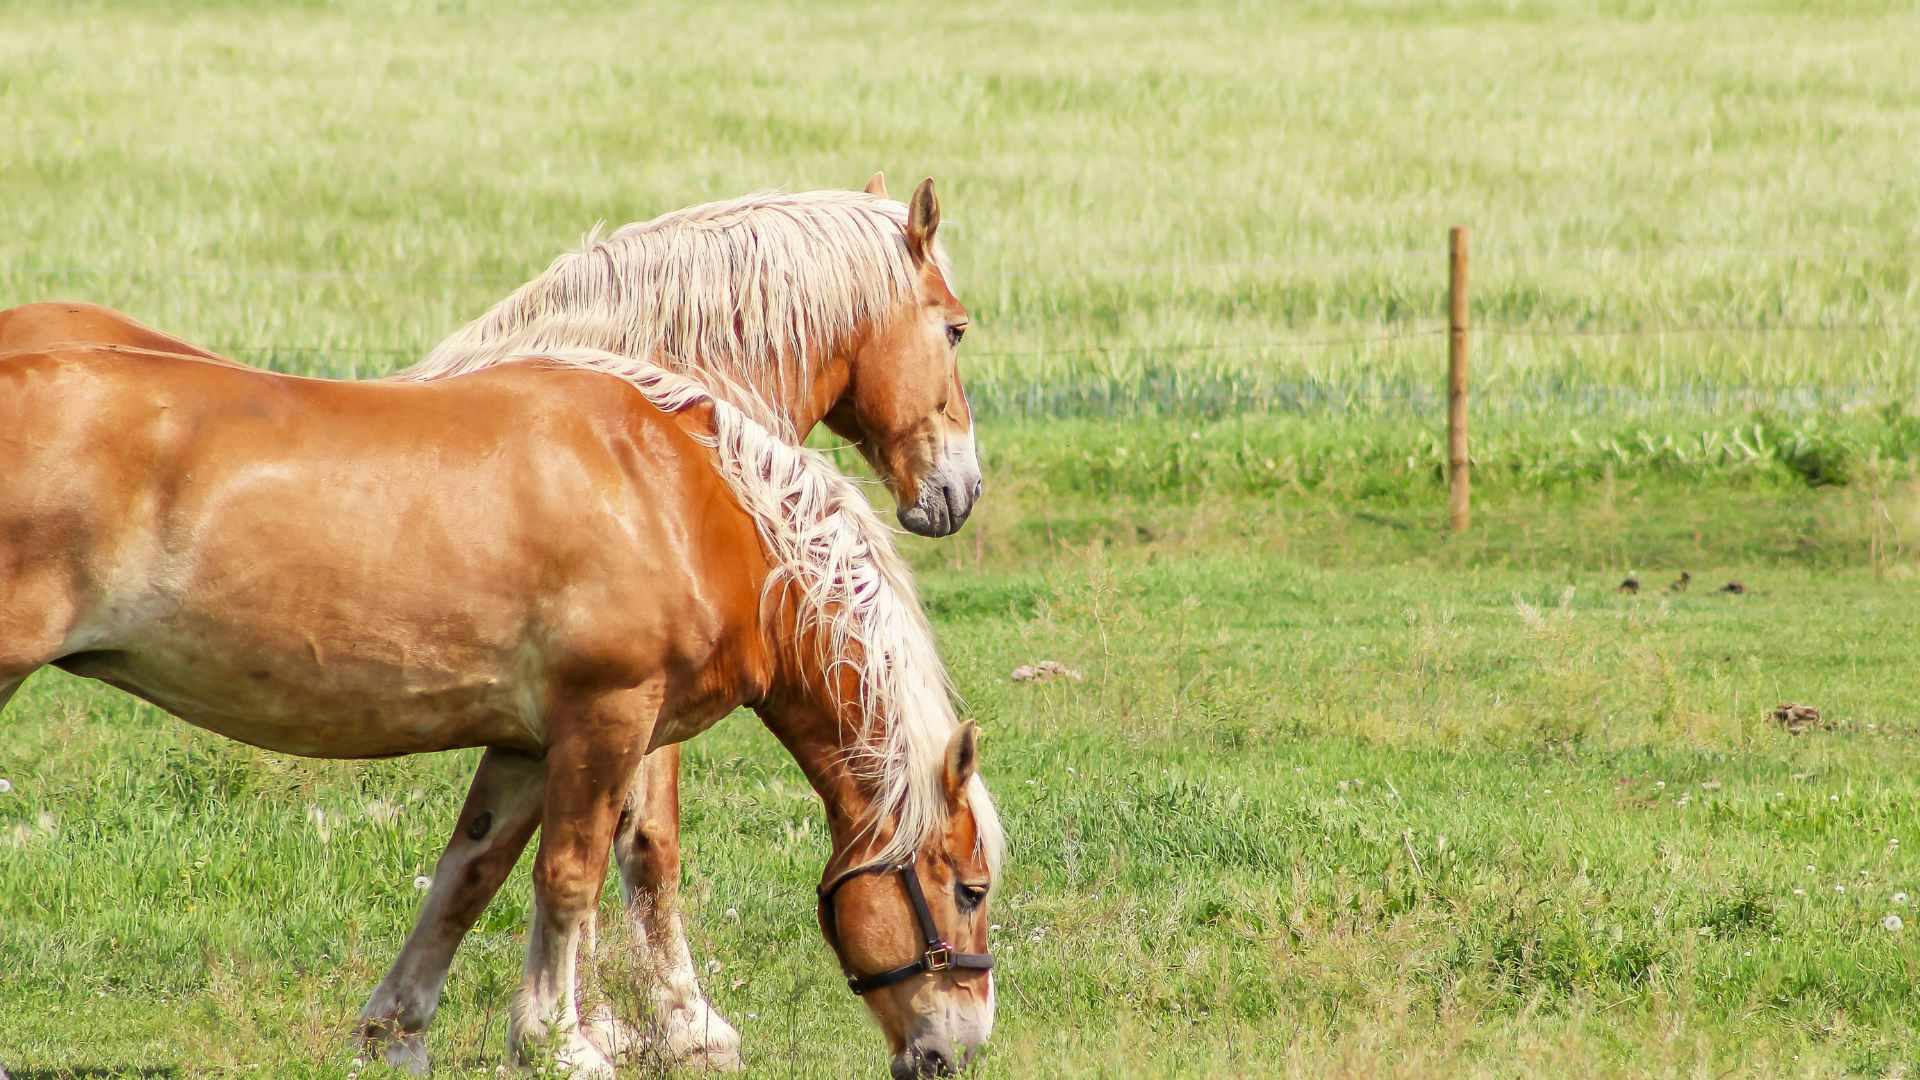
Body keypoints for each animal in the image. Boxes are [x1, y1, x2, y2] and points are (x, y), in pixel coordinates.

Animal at [0, 173, 978, 1068]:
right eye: (956, 327)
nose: (957, 492)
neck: (683, 490)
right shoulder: (614, 715)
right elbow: (603, 864)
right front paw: (612, 1037)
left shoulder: (531, 739)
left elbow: (472, 874)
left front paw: (407, 1034)